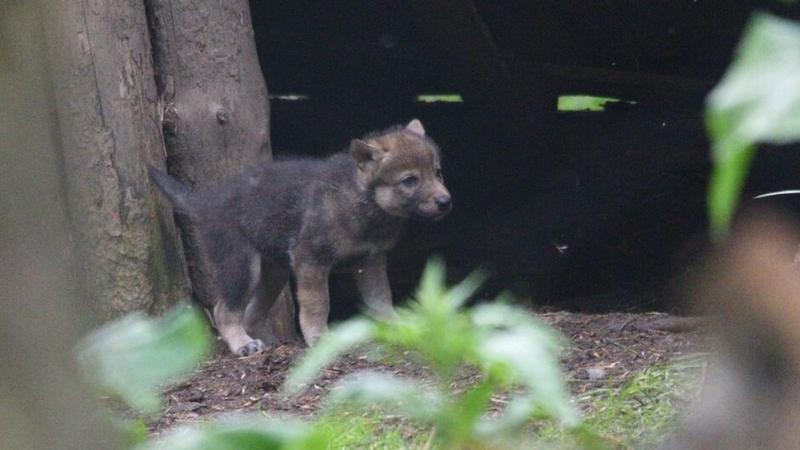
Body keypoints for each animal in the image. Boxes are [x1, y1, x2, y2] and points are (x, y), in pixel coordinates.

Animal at [149, 119, 451, 355]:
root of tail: (207, 200)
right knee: (225, 311)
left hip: (275, 273)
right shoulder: (311, 261)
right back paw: (243, 345)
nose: (446, 202)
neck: (362, 203)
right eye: (409, 181)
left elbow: (382, 298)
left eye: (437, 172)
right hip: (243, 267)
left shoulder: (371, 261)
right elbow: (318, 304)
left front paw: (397, 326)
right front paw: (319, 338)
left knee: (252, 312)